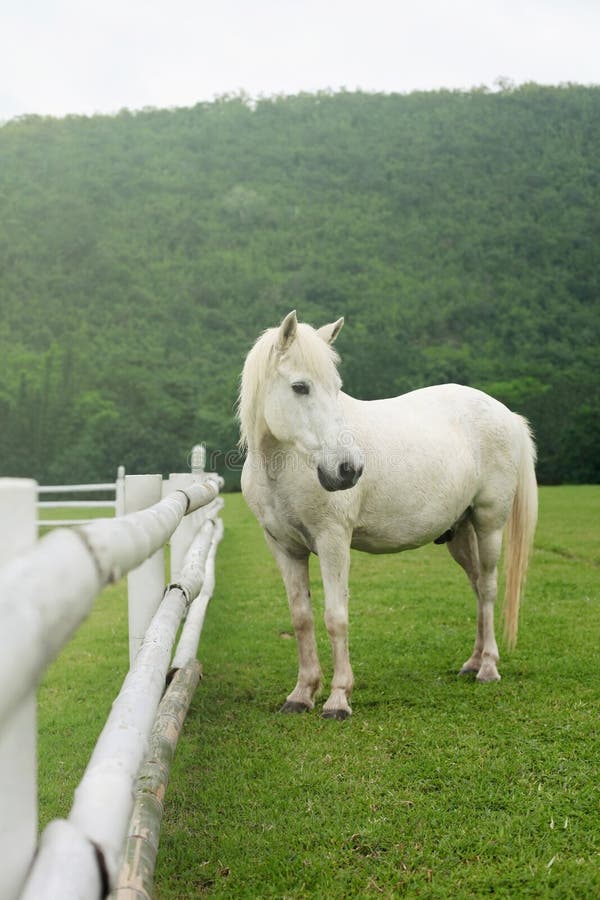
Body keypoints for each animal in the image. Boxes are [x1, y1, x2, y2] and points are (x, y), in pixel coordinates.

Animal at [239, 310, 538, 719]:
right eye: (300, 387)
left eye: (337, 388)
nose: (349, 470)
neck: (283, 466)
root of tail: (505, 413)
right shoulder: (284, 548)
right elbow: (301, 618)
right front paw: (301, 694)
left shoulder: (333, 542)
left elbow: (335, 617)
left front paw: (338, 699)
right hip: (460, 534)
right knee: (477, 587)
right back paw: (473, 662)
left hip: (489, 524)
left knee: (489, 587)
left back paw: (489, 668)